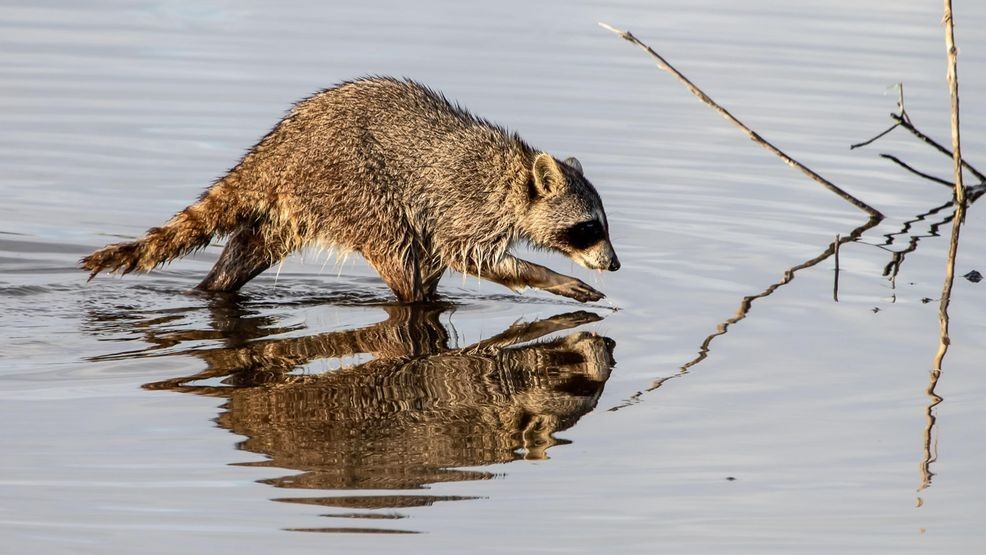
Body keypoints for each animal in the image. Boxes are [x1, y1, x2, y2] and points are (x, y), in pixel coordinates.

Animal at [81, 77, 620, 303]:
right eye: (588, 228)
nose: (614, 264)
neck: (514, 178)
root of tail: (274, 149)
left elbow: (443, 255)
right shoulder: (465, 204)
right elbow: (466, 254)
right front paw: (546, 275)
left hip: (300, 204)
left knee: (249, 248)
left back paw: (214, 284)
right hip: (350, 182)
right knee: (395, 248)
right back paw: (415, 299)